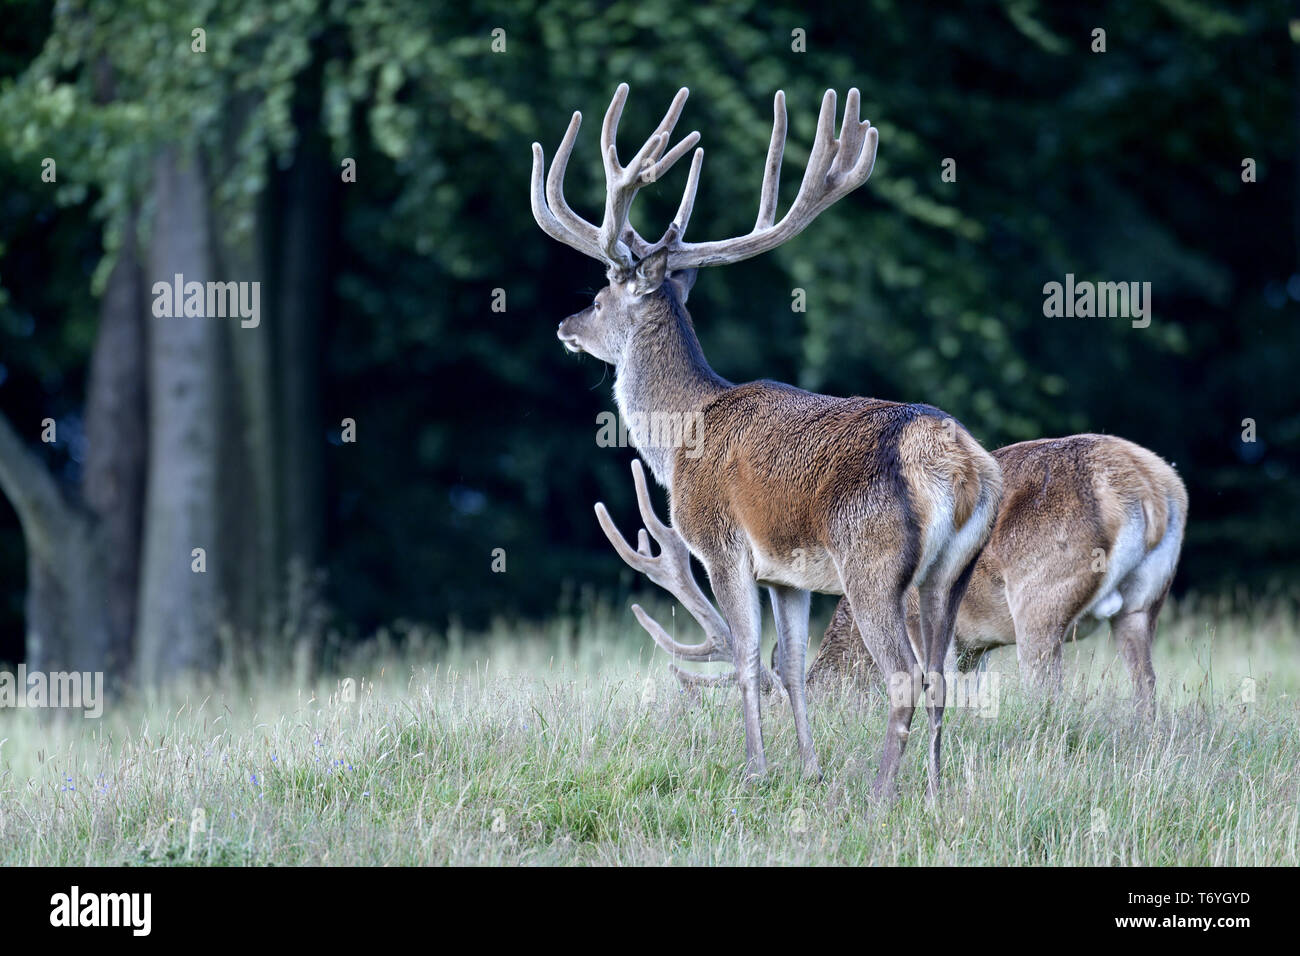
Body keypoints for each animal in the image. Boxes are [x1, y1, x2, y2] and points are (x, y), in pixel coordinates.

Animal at [531, 82, 1003, 799]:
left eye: (602, 292)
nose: (564, 324)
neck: (682, 433)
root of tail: (958, 462)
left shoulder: (720, 542)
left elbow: (751, 657)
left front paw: (753, 770)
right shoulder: (788, 572)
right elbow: (792, 664)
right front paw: (806, 766)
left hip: (871, 561)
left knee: (904, 677)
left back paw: (878, 797)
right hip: (951, 571)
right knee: (943, 679)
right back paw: (932, 790)